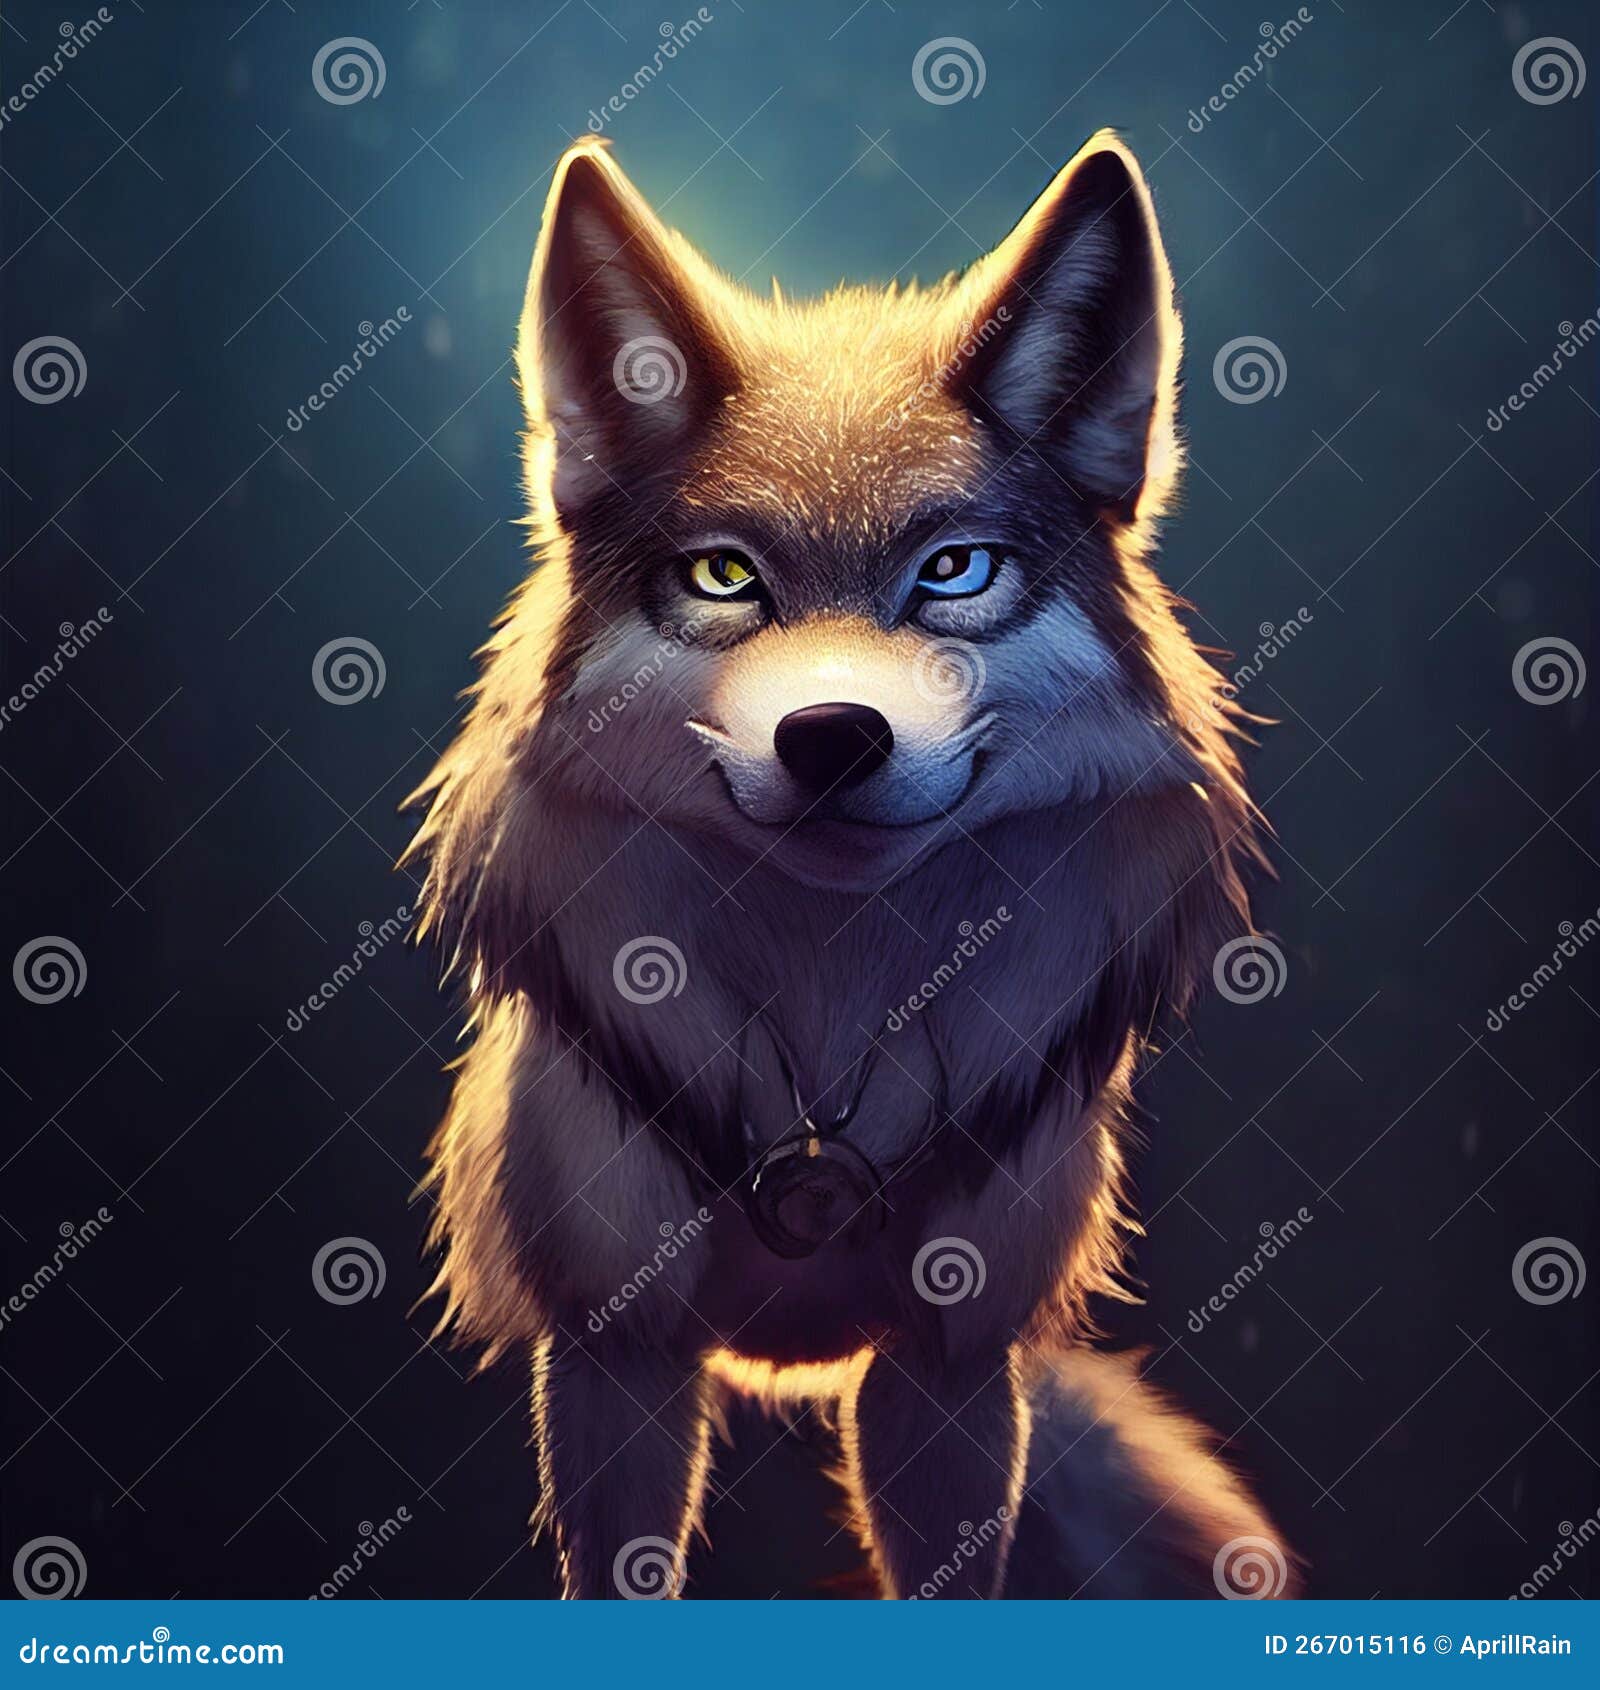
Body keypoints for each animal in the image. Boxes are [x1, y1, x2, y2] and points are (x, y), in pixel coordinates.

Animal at [404, 129, 1296, 1600]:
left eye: (952, 571)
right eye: (724, 578)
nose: (830, 733)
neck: (827, 1035)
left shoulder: (948, 1370)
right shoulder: (613, 1355)